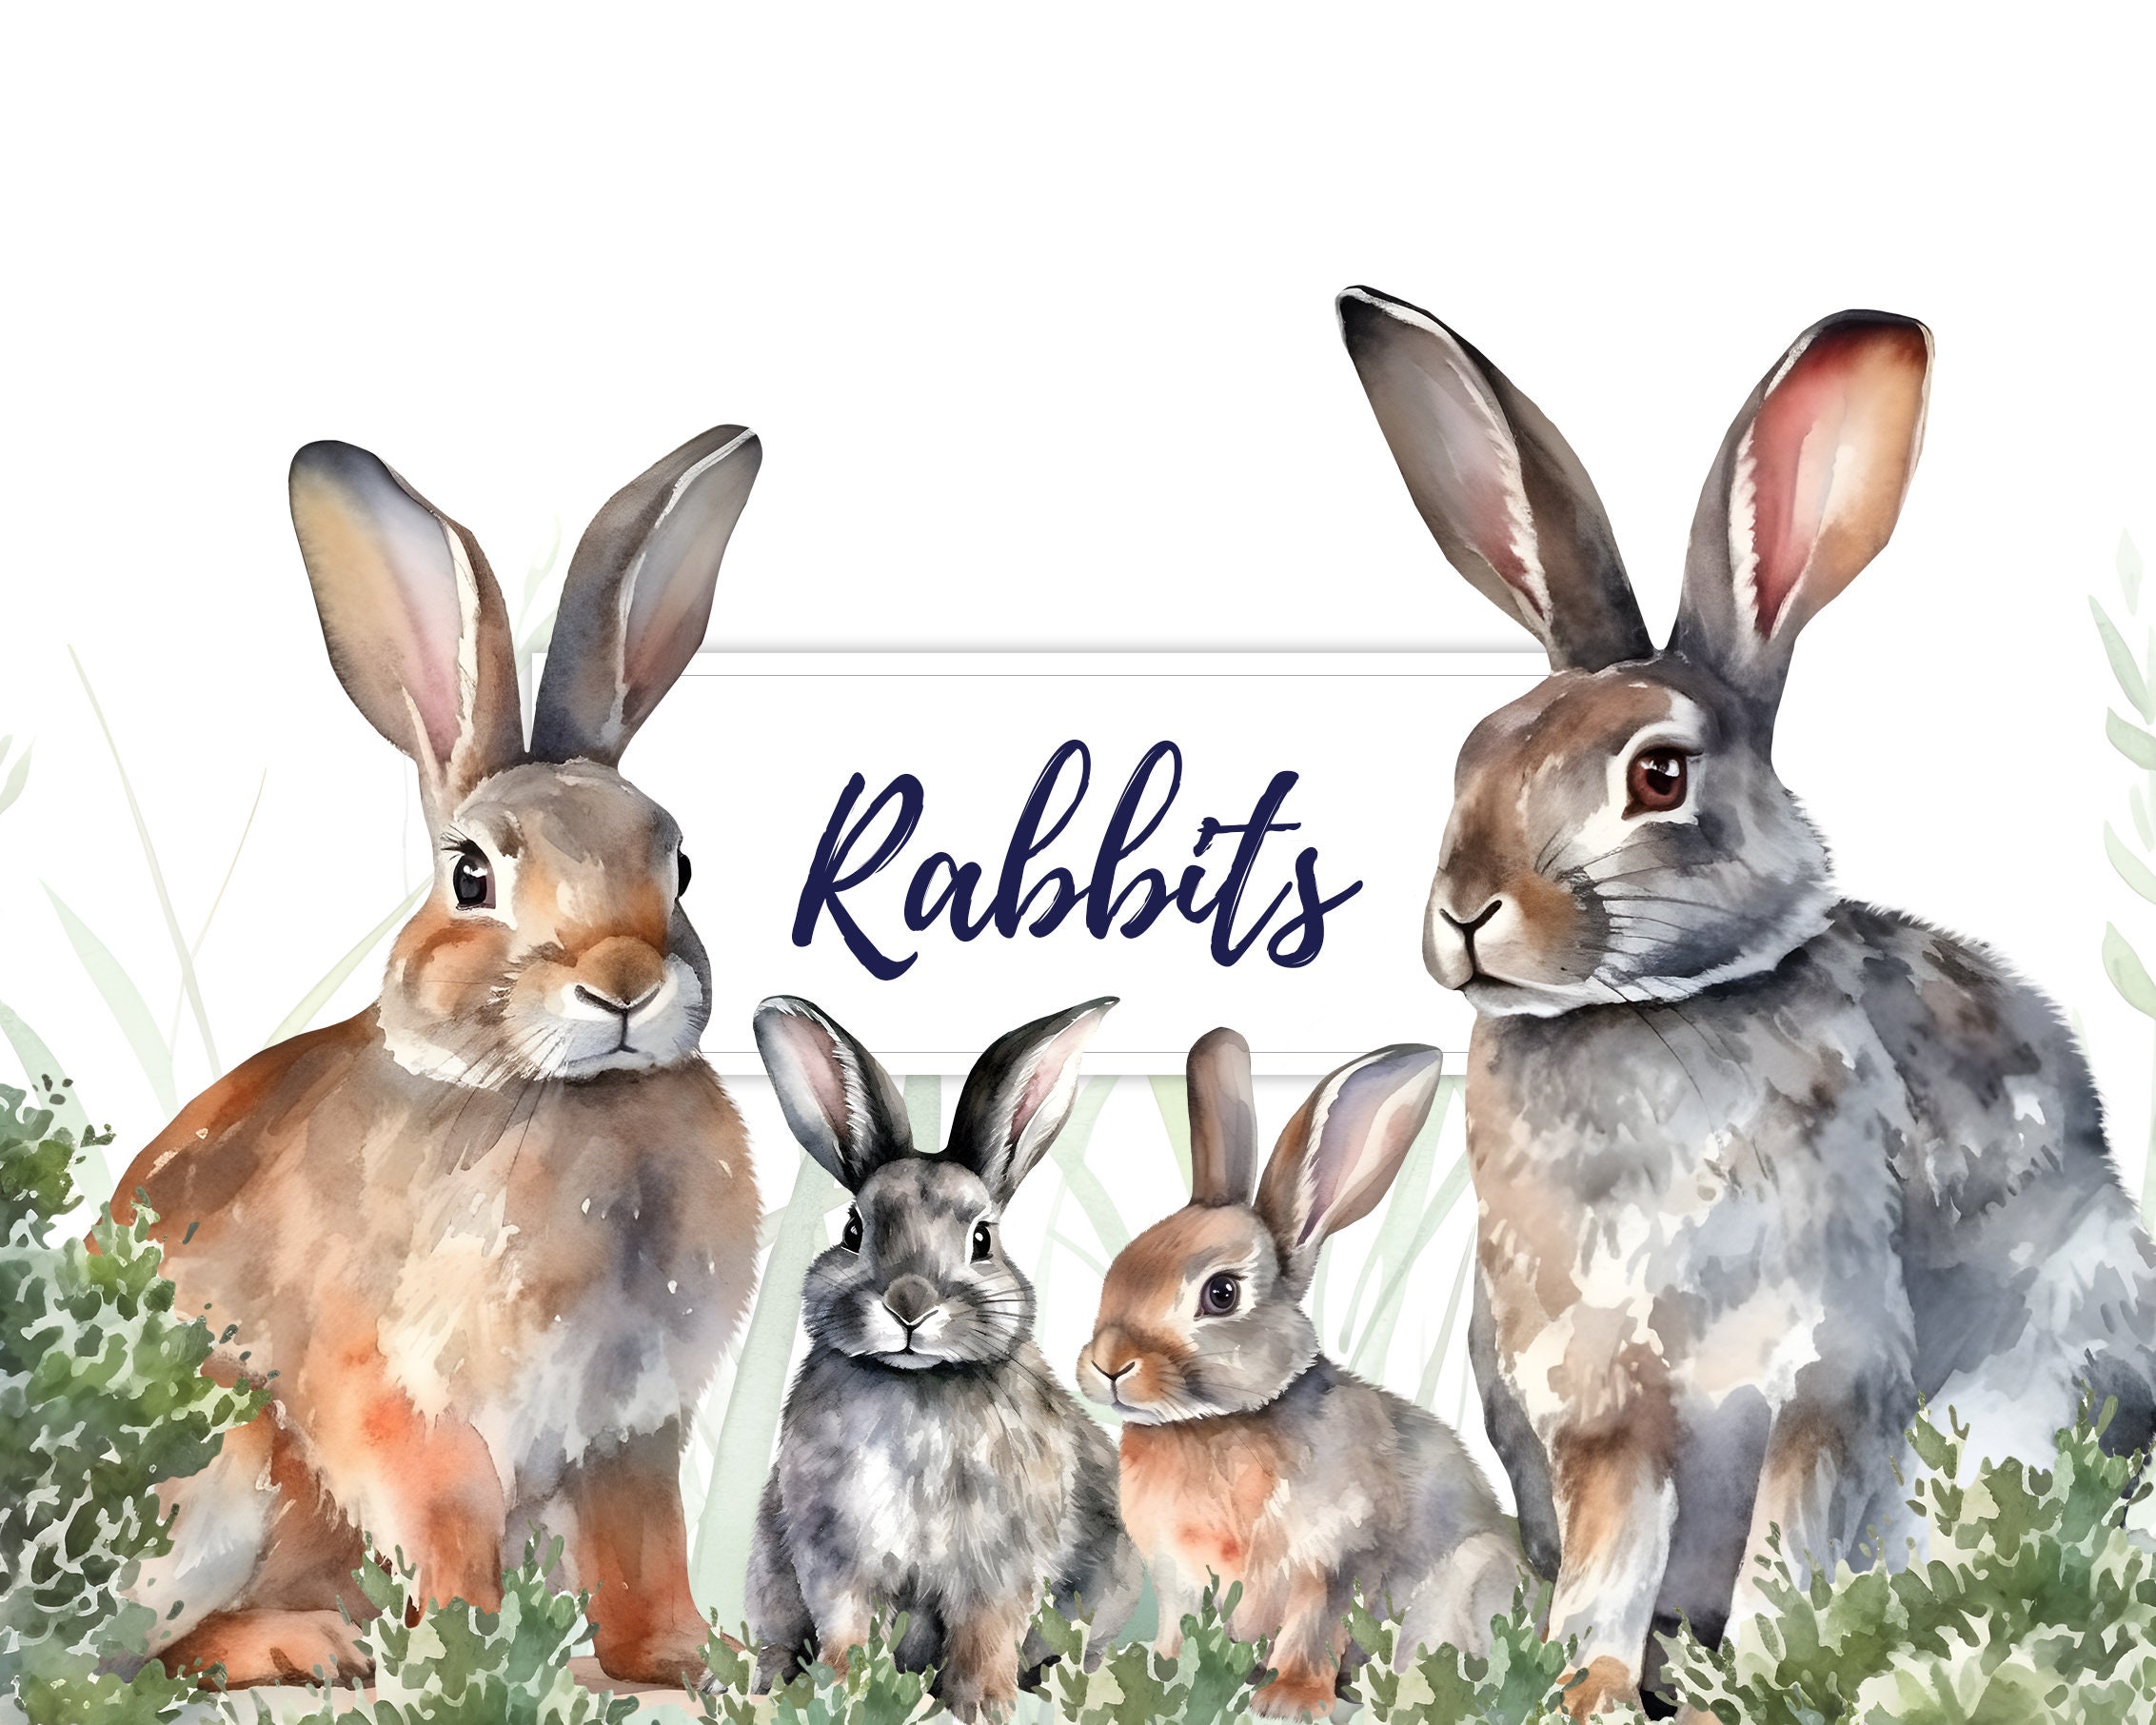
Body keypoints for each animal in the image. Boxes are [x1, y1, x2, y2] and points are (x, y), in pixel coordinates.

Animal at [109, 426, 765, 1690]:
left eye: (679, 864)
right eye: (471, 875)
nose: (624, 981)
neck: (554, 1094)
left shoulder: (633, 1426)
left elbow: (642, 1546)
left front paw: (685, 1662)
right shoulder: (403, 1405)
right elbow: (447, 1524)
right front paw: (472, 1662)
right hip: (223, 1472)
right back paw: (308, 1643)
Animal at [746, 994, 1142, 1723]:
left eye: (982, 1239)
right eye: (853, 1229)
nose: (909, 1304)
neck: (915, 1386)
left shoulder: (1000, 1562)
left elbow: (986, 1630)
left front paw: (980, 1704)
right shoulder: (836, 1556)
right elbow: (846, 1627)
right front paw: (844, 1693)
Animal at [1076, 1029, 1524, 1721]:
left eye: (1221, 1294)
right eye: (1118, 1269)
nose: (1108, 1363)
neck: (1212, 1426)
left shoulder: (1336, 1560)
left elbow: (1312, 1629)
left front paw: (1289, 1699)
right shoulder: (1180, 1581)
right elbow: (1178, 1633)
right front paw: (1160, 1678)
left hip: (1472, 1584)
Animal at [1336, 284, 2156, 1715]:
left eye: (1658, 775)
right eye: (1474, 754)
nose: (1466, 912)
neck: (1647, 1014)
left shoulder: (1828, 1373)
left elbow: (1794, 1540)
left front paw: (1772, 1672)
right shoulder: (1599, 1406)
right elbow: (1612, 1557)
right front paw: (1589, 1687)